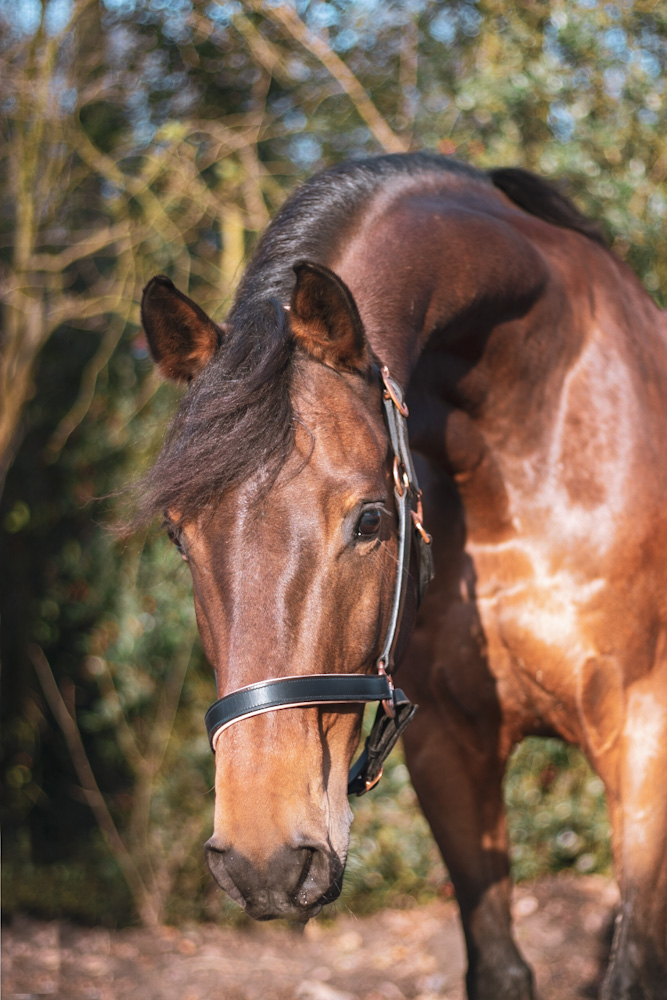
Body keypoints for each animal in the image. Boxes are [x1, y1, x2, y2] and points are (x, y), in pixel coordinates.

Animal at [135, 152, 667, 1000]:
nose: (263, 861)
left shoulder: (643, 735)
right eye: (178, 537)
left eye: (369, 521)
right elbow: (498, 966)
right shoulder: (449, 748)